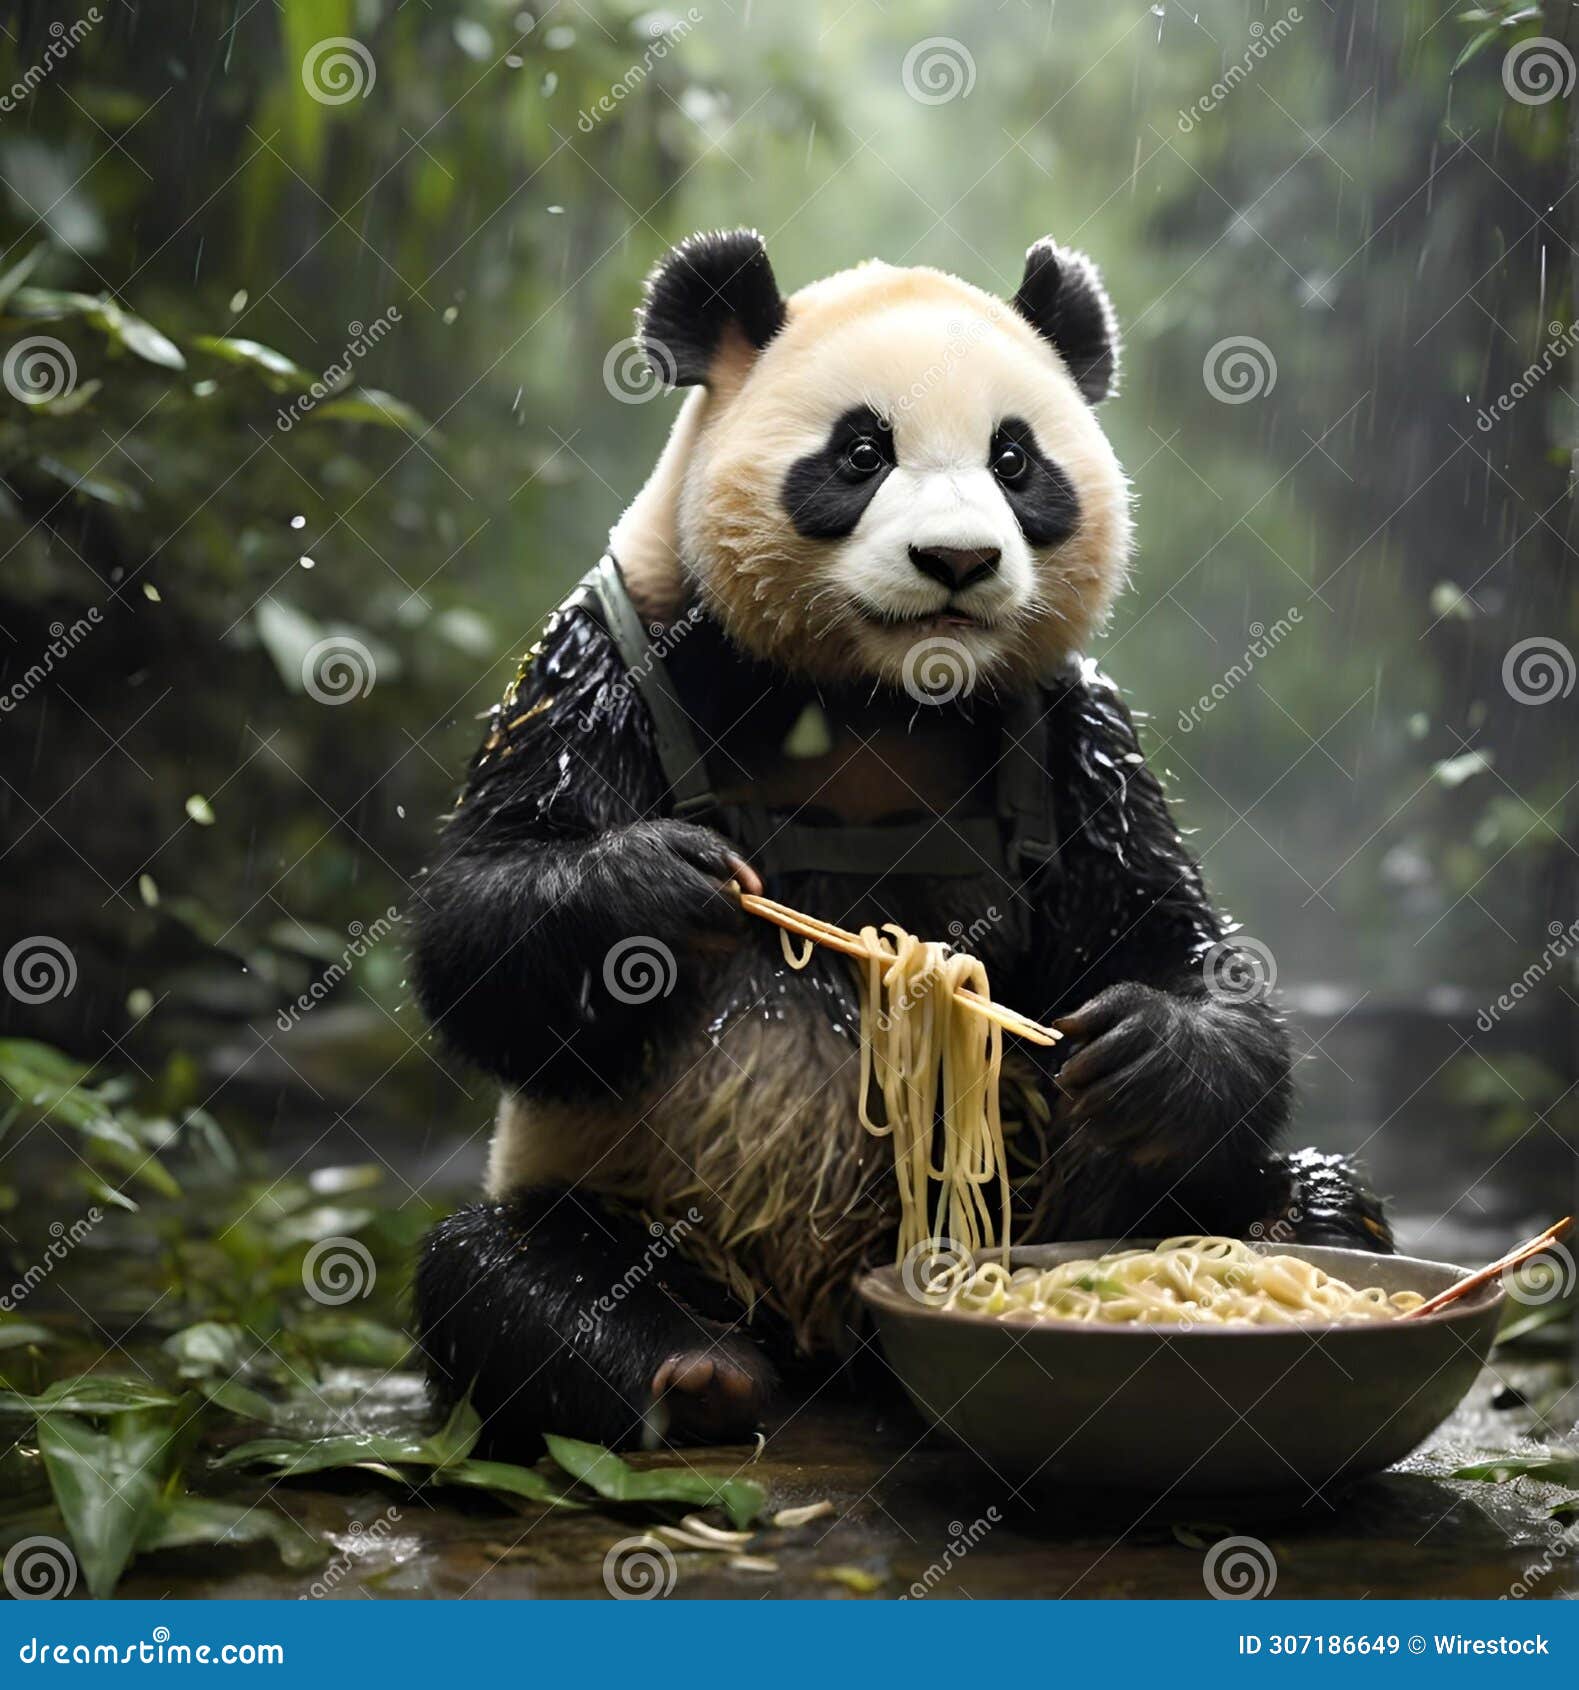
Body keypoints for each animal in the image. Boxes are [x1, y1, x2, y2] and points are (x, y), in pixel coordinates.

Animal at [412, 230, 1392, 1453]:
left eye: (1014, 460)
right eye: (860, 452)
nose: (959, 561)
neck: (876, 695)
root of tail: (830, 1333)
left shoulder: (1070, 726)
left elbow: (1164, 932)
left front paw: (1145, 1046)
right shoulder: (612, 651)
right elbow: (483, 925)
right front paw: (653, 884)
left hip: (1045, 1192)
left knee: (1314, 1193)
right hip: (630, 1194)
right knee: (498, 1271)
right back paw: (687, 1371)